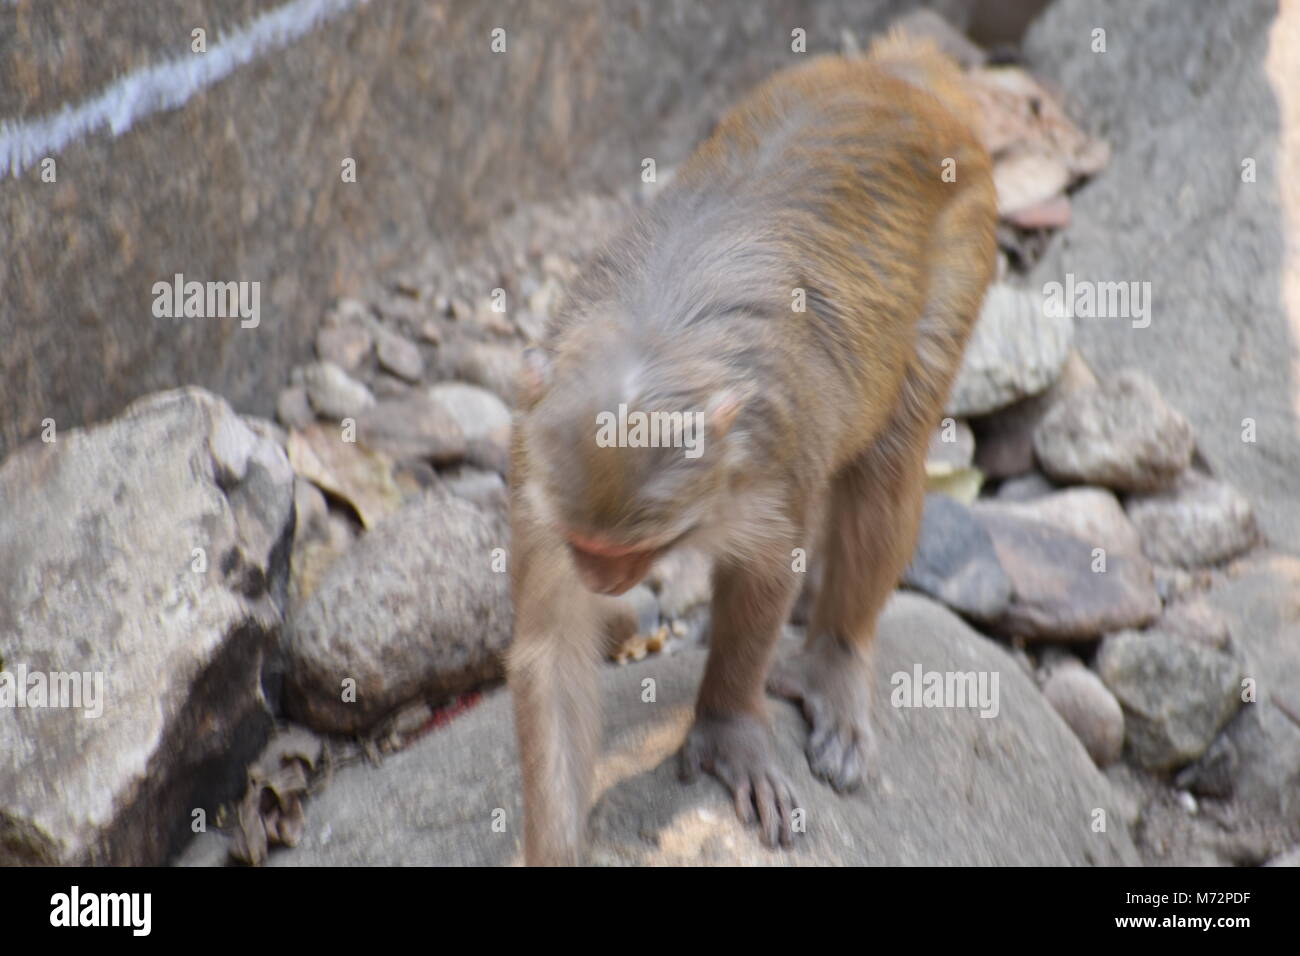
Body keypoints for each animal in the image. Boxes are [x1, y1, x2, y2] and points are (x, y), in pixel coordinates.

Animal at [507, 33, 997, 865]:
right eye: (585, 548)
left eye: (638, 548)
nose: (603, 578)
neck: (655, 333)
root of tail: (894, 77)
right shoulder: (535, 472)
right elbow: (551, 648)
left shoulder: (771, 455)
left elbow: (768, 569)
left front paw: (727, 728)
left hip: (965, 235)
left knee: (886, 467)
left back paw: (835, 657)